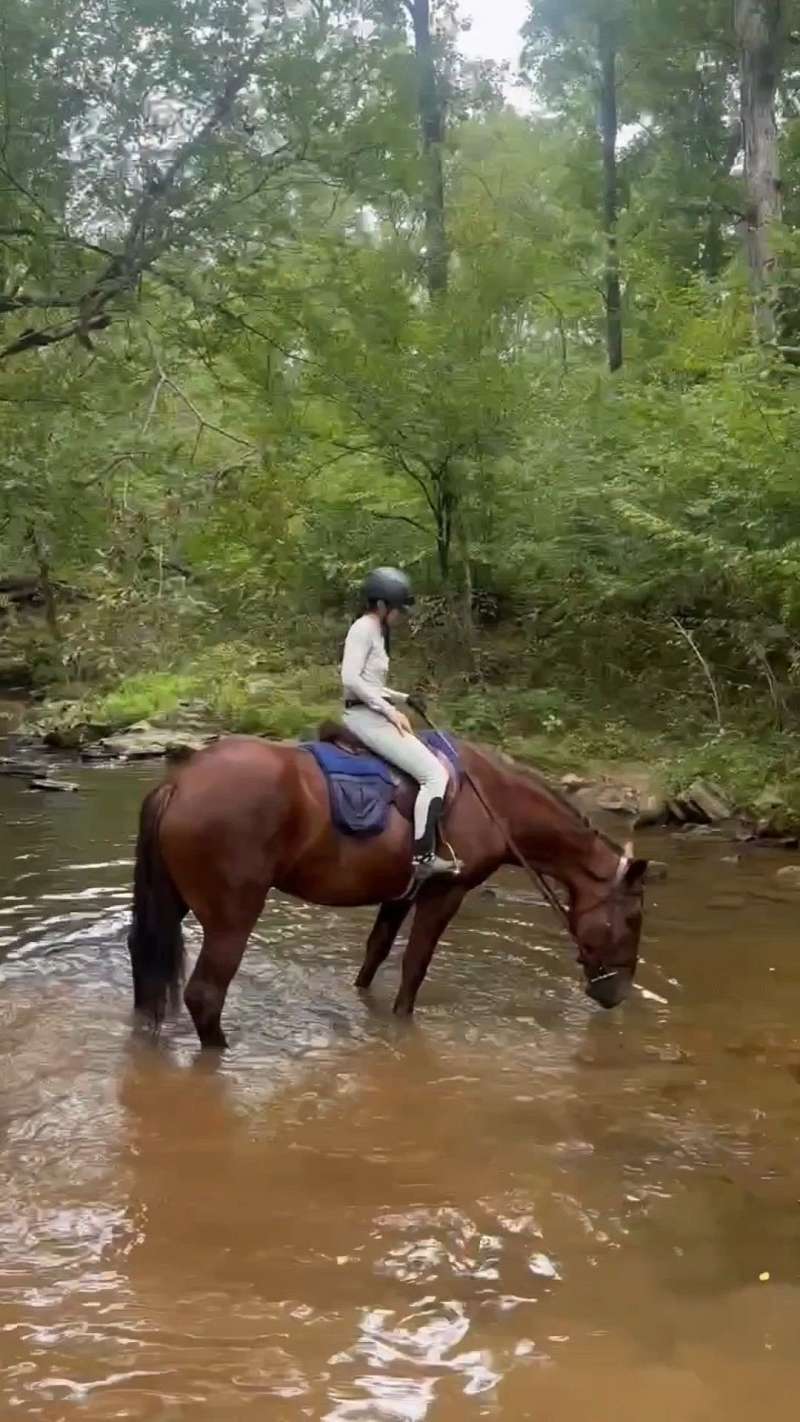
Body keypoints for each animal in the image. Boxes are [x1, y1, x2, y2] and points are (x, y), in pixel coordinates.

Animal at [127, 734, 648, 1049]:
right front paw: (402, 1026)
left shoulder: (401, 894)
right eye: (633, 918)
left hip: (171, 903)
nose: (618, 993)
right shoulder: (445, 893)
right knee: (205, 994)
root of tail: (179, 785)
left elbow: (375, 954)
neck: (493, 802)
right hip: (232, 915)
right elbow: (414, 966)